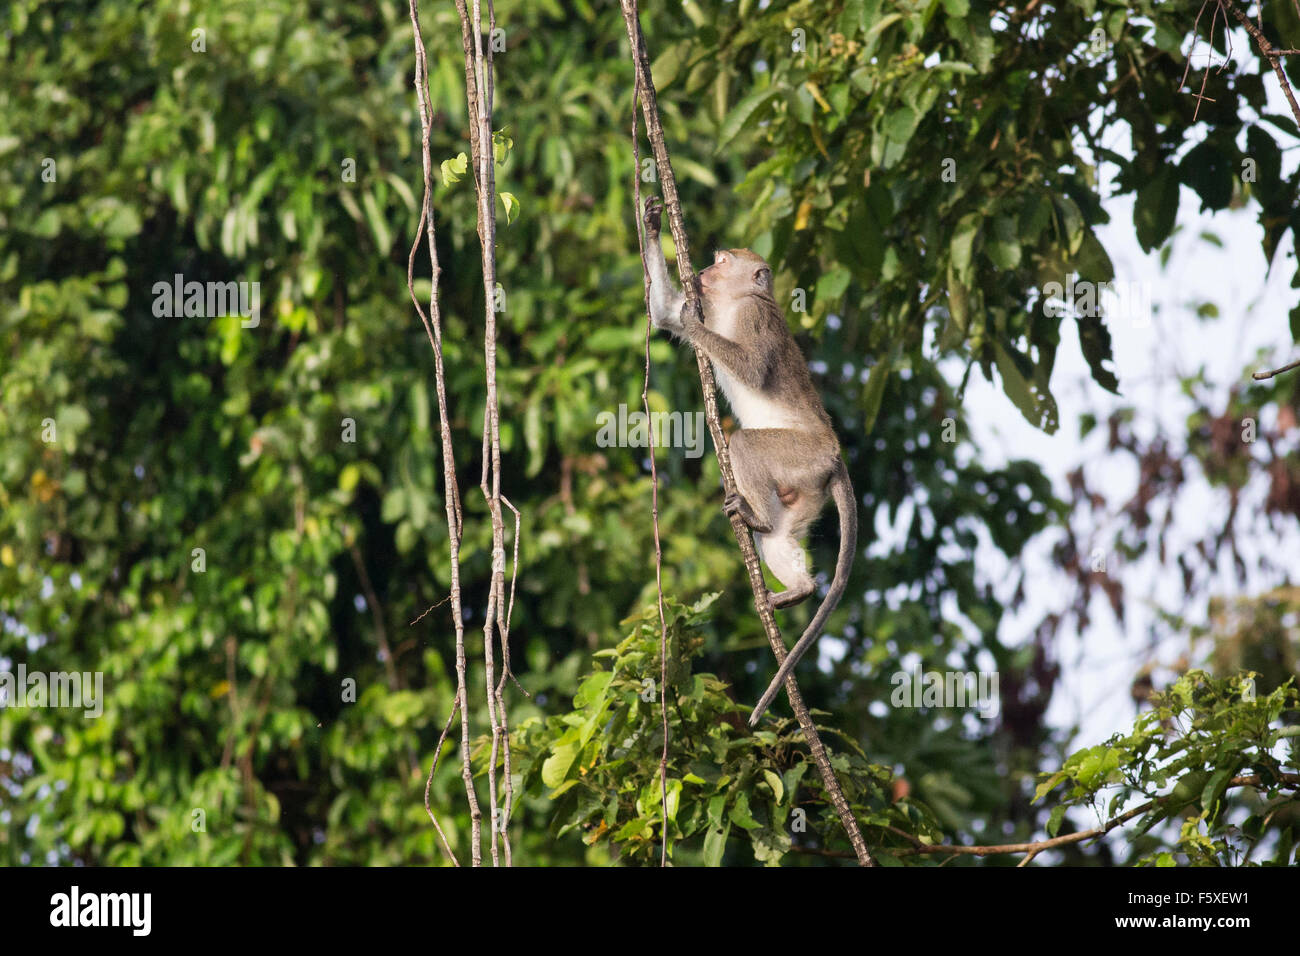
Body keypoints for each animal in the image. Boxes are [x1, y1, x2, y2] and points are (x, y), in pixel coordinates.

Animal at [640, 196, 857, 726]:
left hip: (803, 457)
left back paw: (754, 517)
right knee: (782, 535)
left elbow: (752, 366)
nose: (701, 271)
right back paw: (799, 586)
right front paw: (653, 223)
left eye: (721, 262)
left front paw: (694, 322)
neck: (734, 302)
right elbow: (662, 312)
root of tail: (836, 458)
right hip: (808, 487)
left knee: (743, 447)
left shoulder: (755, 319)